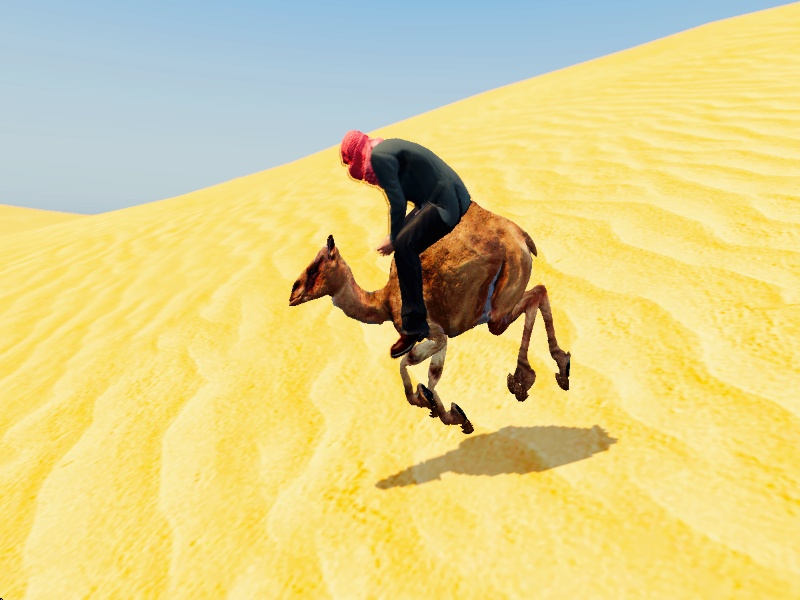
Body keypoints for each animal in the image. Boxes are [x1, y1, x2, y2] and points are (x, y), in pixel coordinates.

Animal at [288, 200, 571, 434]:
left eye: (314, 269)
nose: (293, 294)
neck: (384, 302)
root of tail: (523, 236)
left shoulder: (432, 331)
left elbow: (414, 366)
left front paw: (443, 409)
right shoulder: (437, 334)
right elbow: (427, 373)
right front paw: (445, 411)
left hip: (504, 289)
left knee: (531, 299)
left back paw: (529, 376)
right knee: (539, 292)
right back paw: (552, 371)